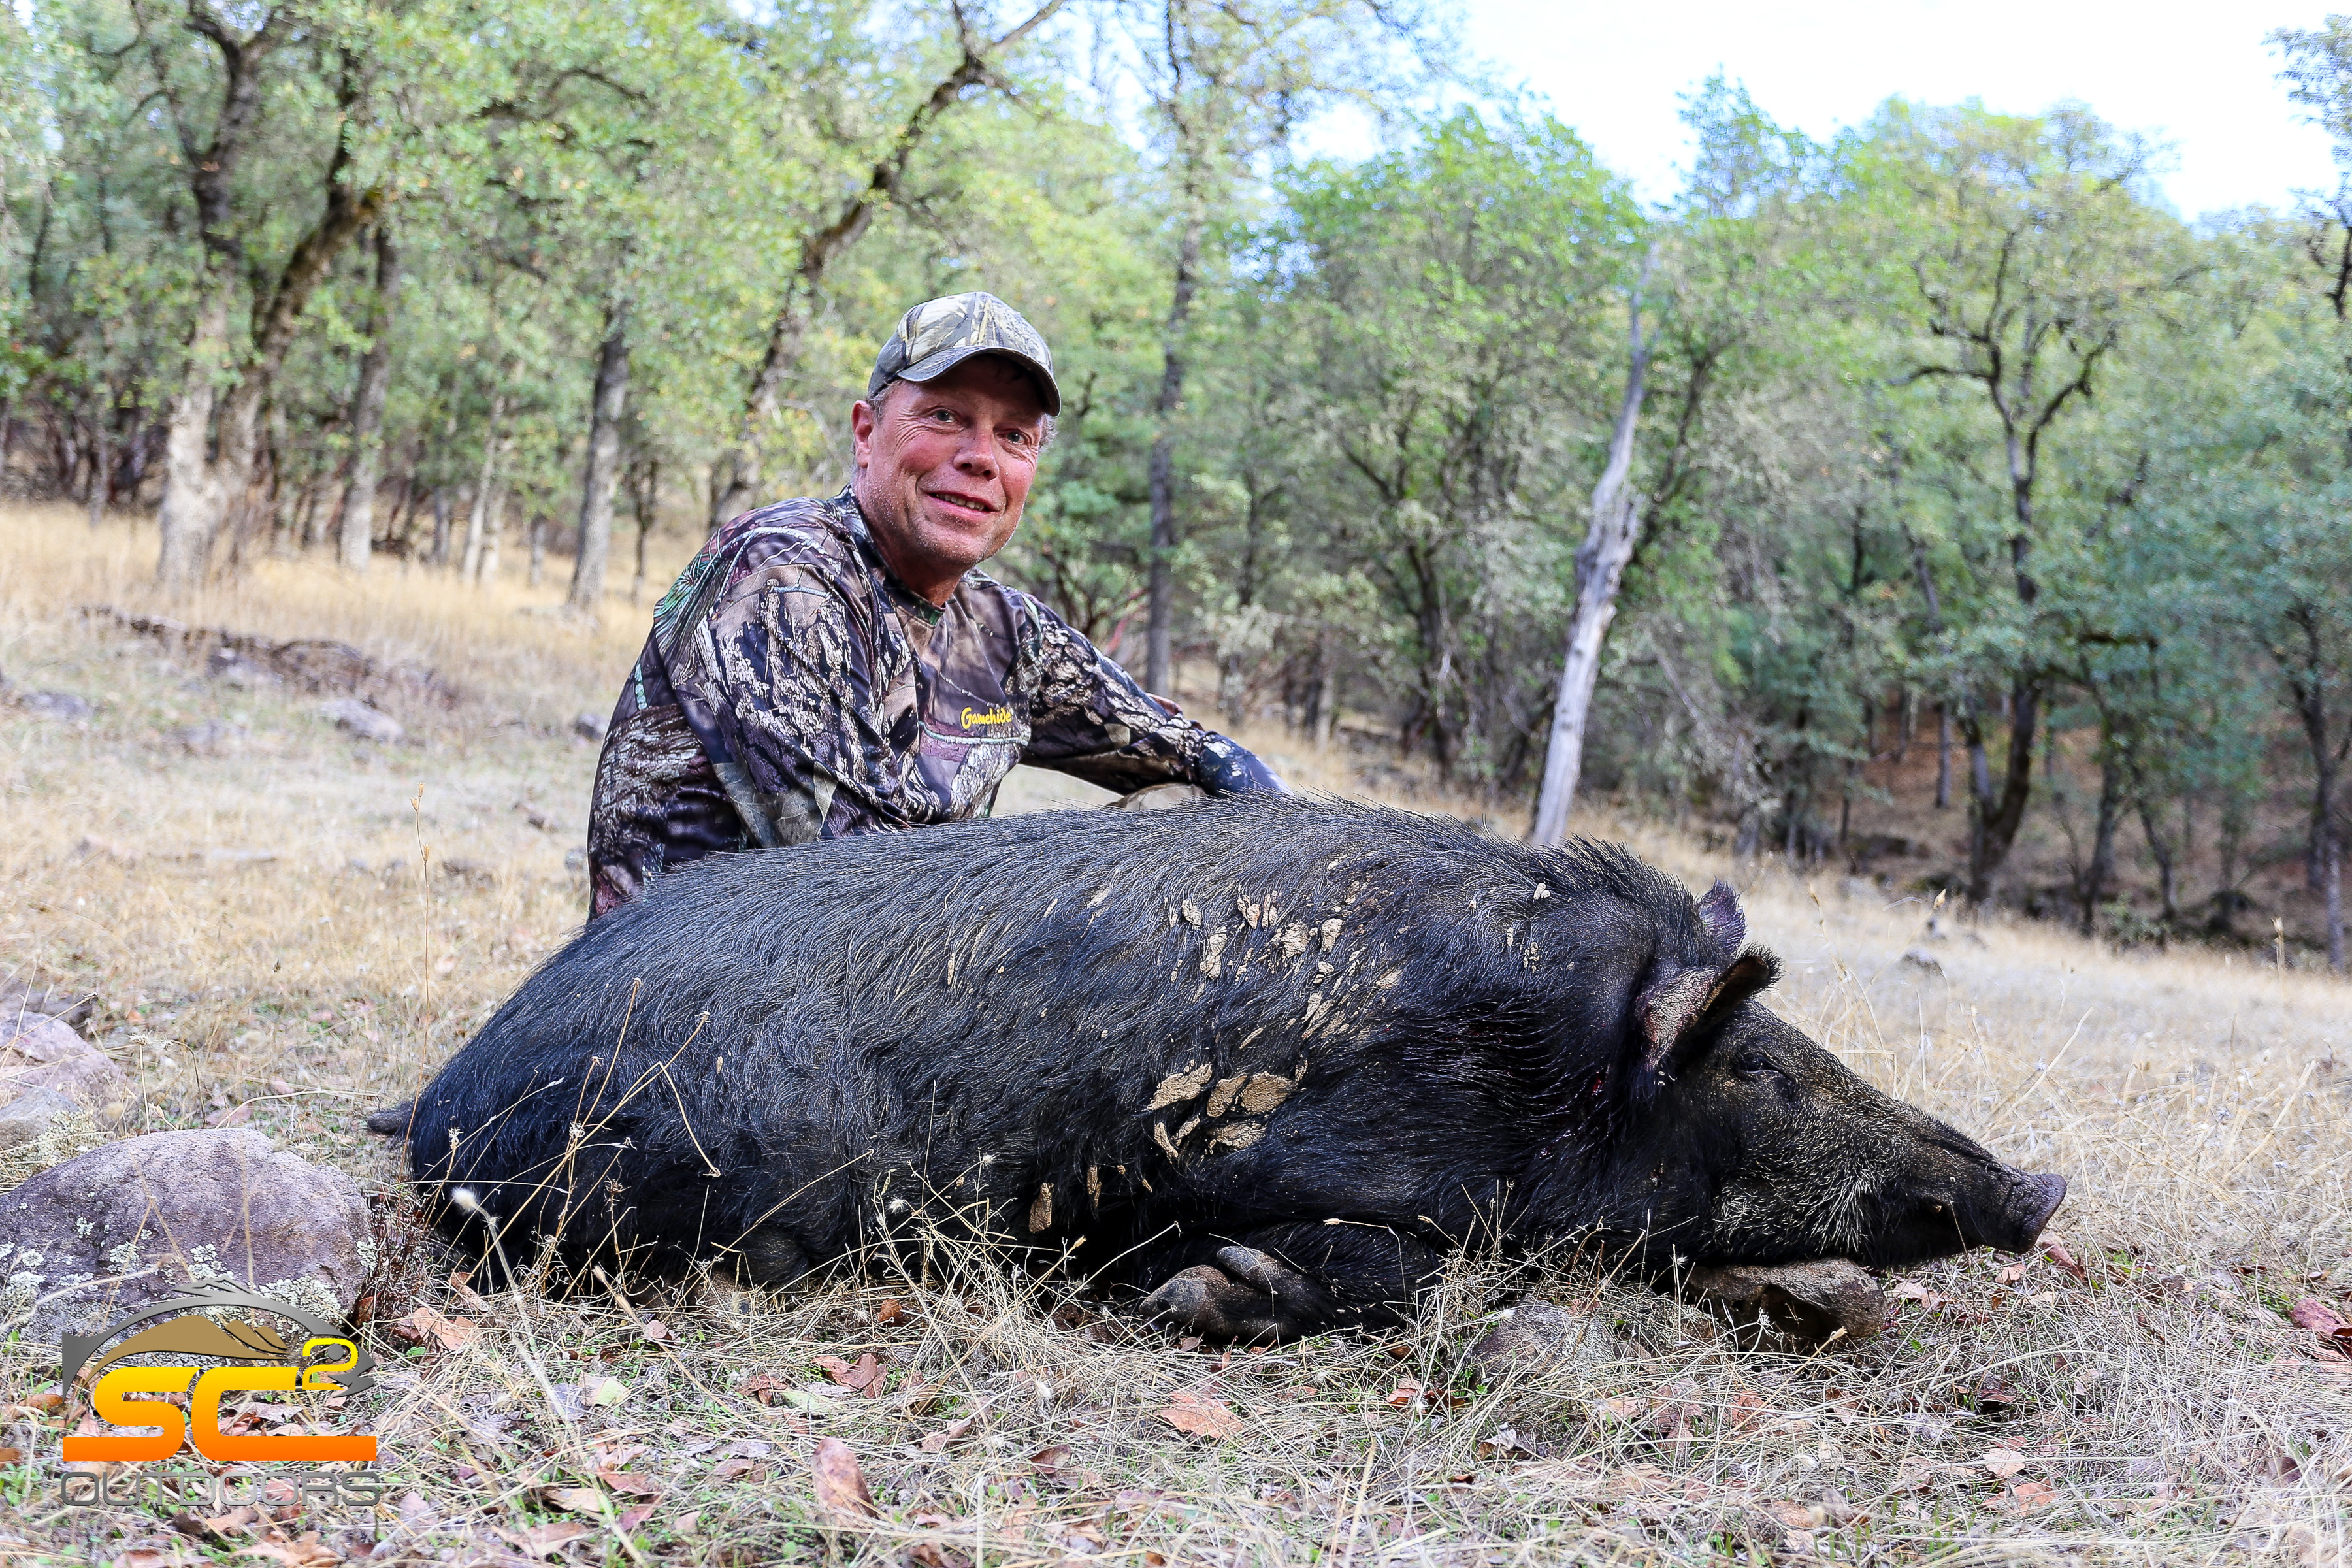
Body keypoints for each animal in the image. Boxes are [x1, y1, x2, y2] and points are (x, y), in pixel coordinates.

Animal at [383, 797, 2065, 1340]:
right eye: (1766, 1071)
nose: (2038, 1185)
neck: (1541, 1057)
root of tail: (437, 1108)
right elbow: (1409, 1273)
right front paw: (1198, 1292)